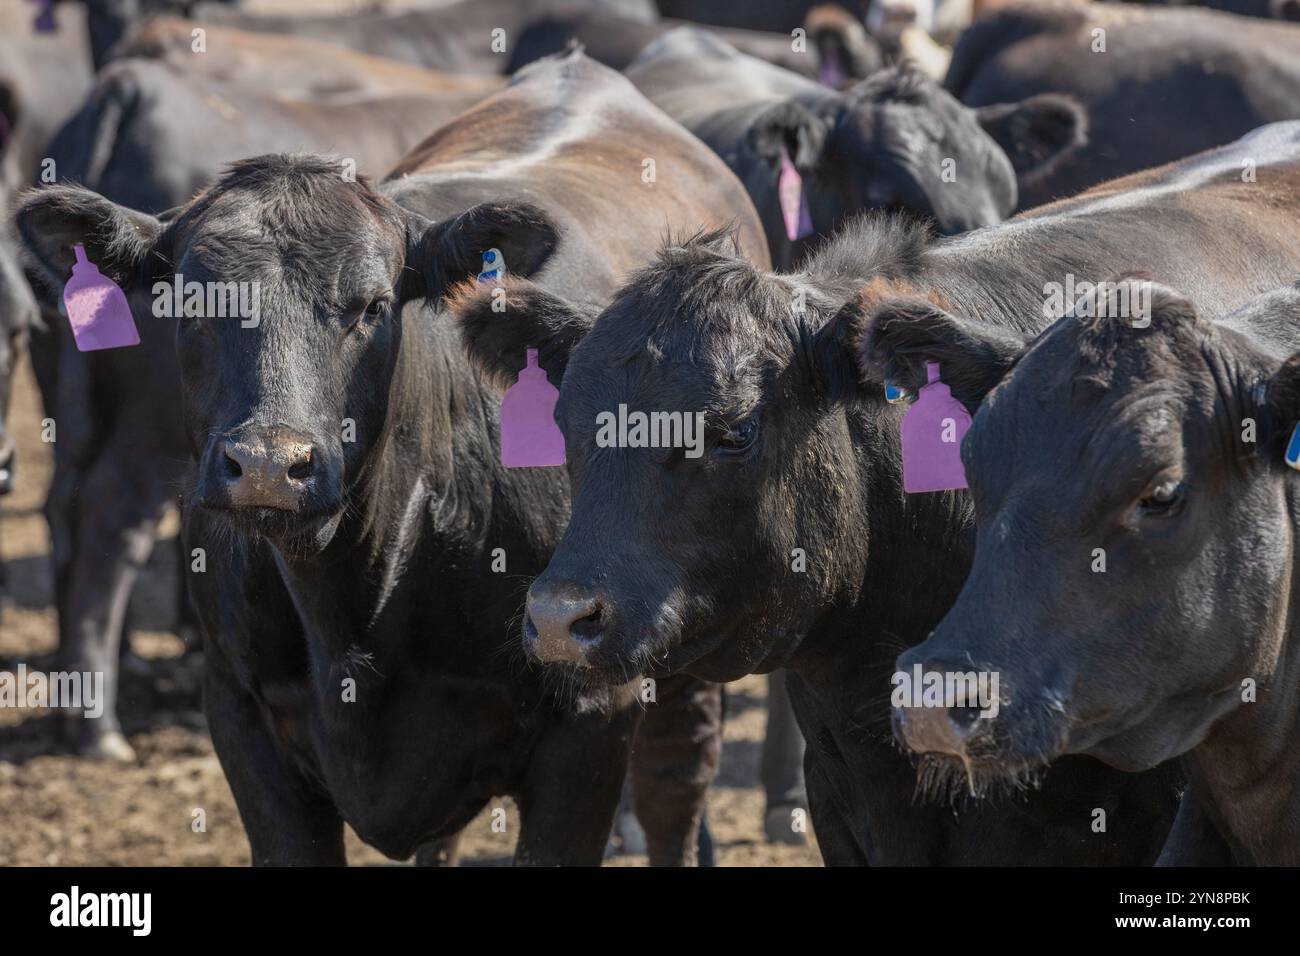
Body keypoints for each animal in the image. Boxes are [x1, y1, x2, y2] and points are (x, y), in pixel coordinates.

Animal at [17, 49, 757, 864]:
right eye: (192, 303)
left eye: (373, 306)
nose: (270, 466)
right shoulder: (241, 715)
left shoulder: (589, 726)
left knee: (674, 786)